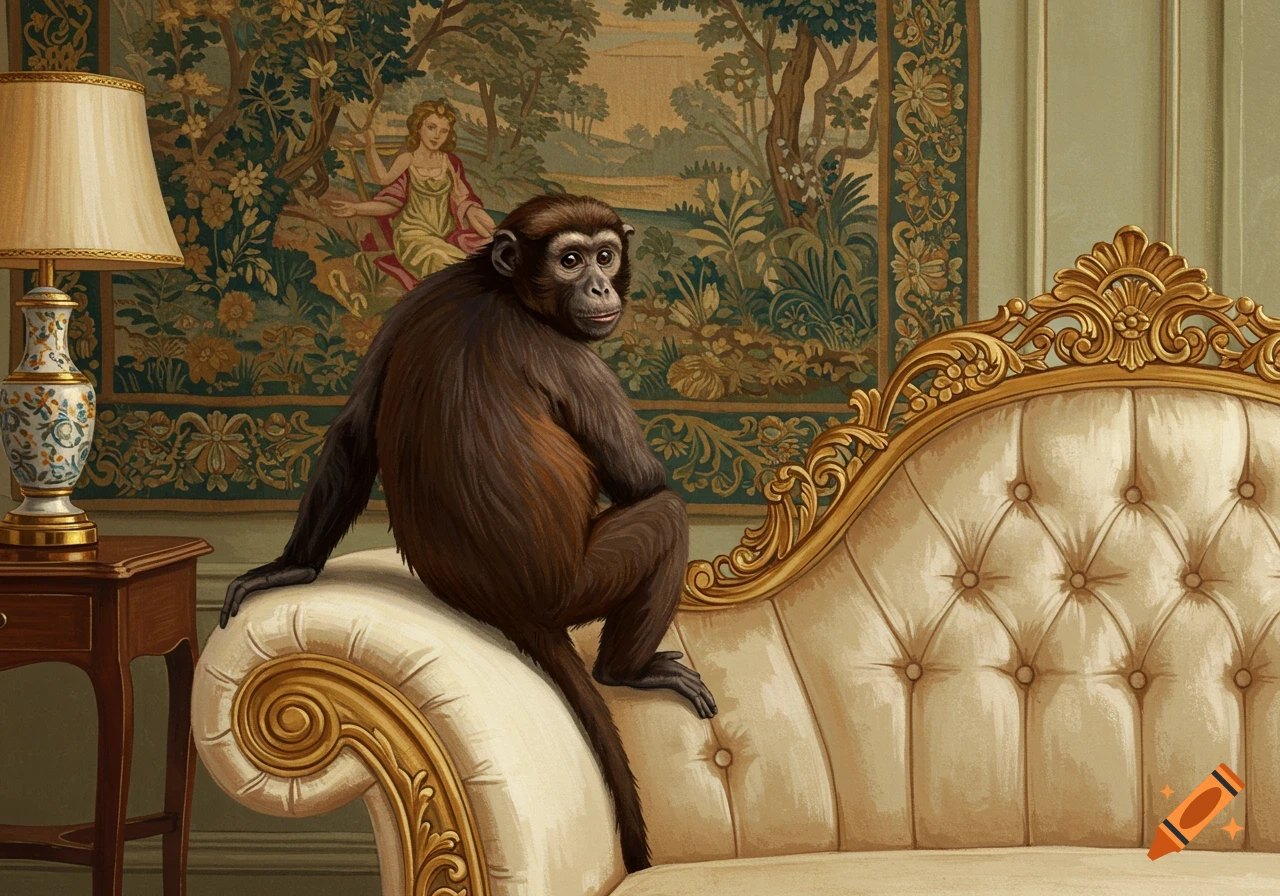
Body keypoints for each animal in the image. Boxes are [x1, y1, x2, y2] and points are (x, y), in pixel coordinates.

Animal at [219, 193, 717, 873]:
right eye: (570, 260)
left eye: (605, 255)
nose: (597, 285)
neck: (501, 289)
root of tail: (510, 604)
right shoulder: (569, 358)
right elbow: (643, 483)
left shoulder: (415, 297)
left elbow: (353, 432)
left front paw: (289, 565)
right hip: (578, 584)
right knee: (665, 515)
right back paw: (625, 670)